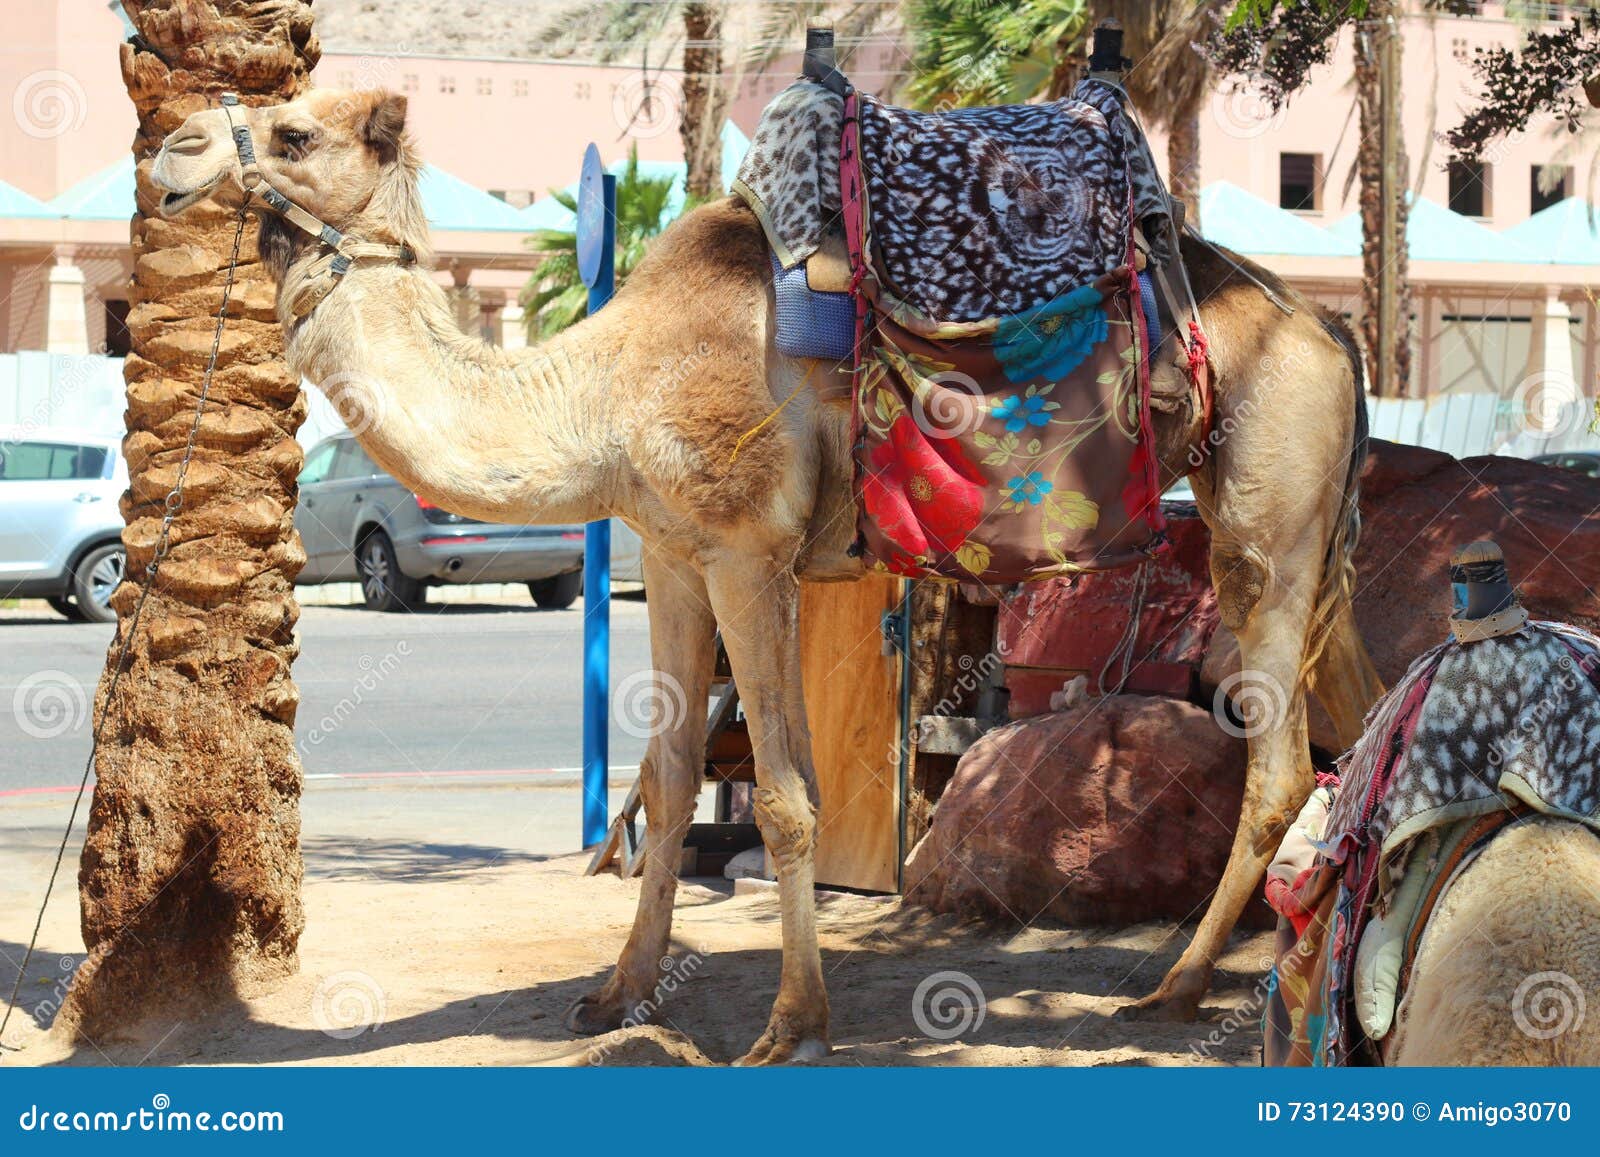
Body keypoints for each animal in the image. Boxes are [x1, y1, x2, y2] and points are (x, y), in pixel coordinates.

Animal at [151, 88, 1386, 1062]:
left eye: (295, 132)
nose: (170, 147)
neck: (603, 389)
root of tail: (1329, 330)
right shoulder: (670, 550)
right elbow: (666, 776)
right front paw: (616, 993)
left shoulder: (751, 552)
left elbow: (790, 799)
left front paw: (791, 1023)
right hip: (1305, 524)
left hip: (1263, 514)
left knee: (1280, 759)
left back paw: (1175, 987)